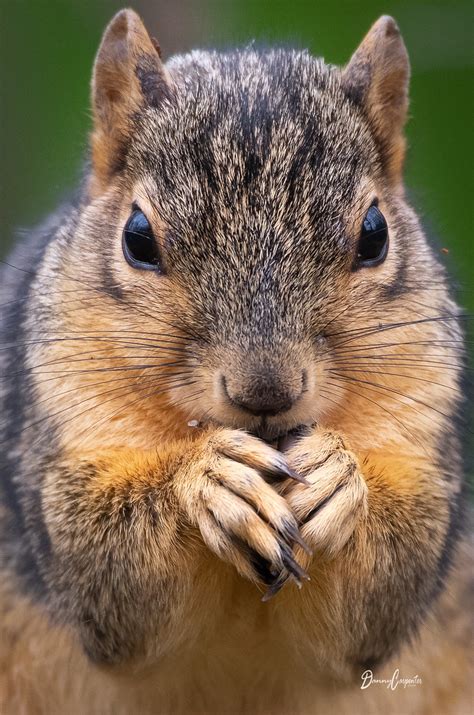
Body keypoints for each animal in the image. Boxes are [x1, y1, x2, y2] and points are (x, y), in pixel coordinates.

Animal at [0, 9, 472, 715]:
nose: (267, 392)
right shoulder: (54, 438)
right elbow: (109, 583)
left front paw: (338, 476)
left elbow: (375, 611)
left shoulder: (424, 431)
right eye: (137, 238)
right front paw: (206, 478)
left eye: (375, 235)